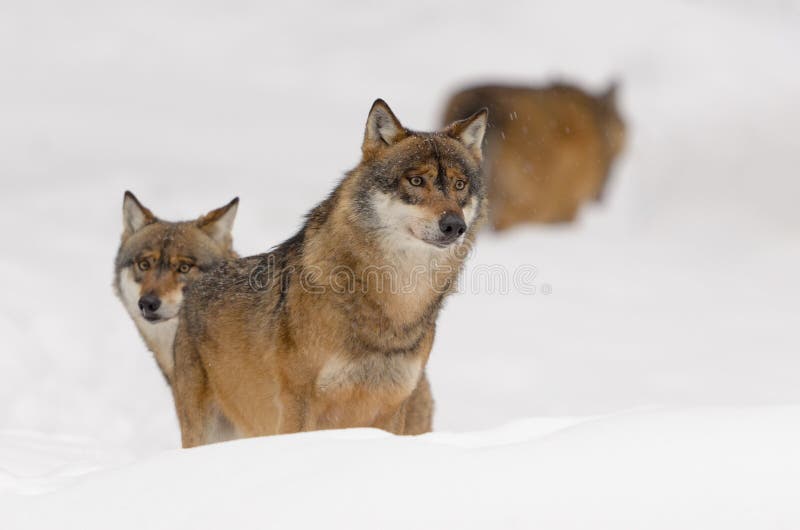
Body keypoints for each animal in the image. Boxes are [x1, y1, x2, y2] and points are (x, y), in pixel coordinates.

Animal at [172, 99, 488, 447]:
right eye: (416, 181)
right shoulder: (299, 402)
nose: (454, 225)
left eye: (460, 185)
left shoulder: (392, 407)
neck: (396, 306)